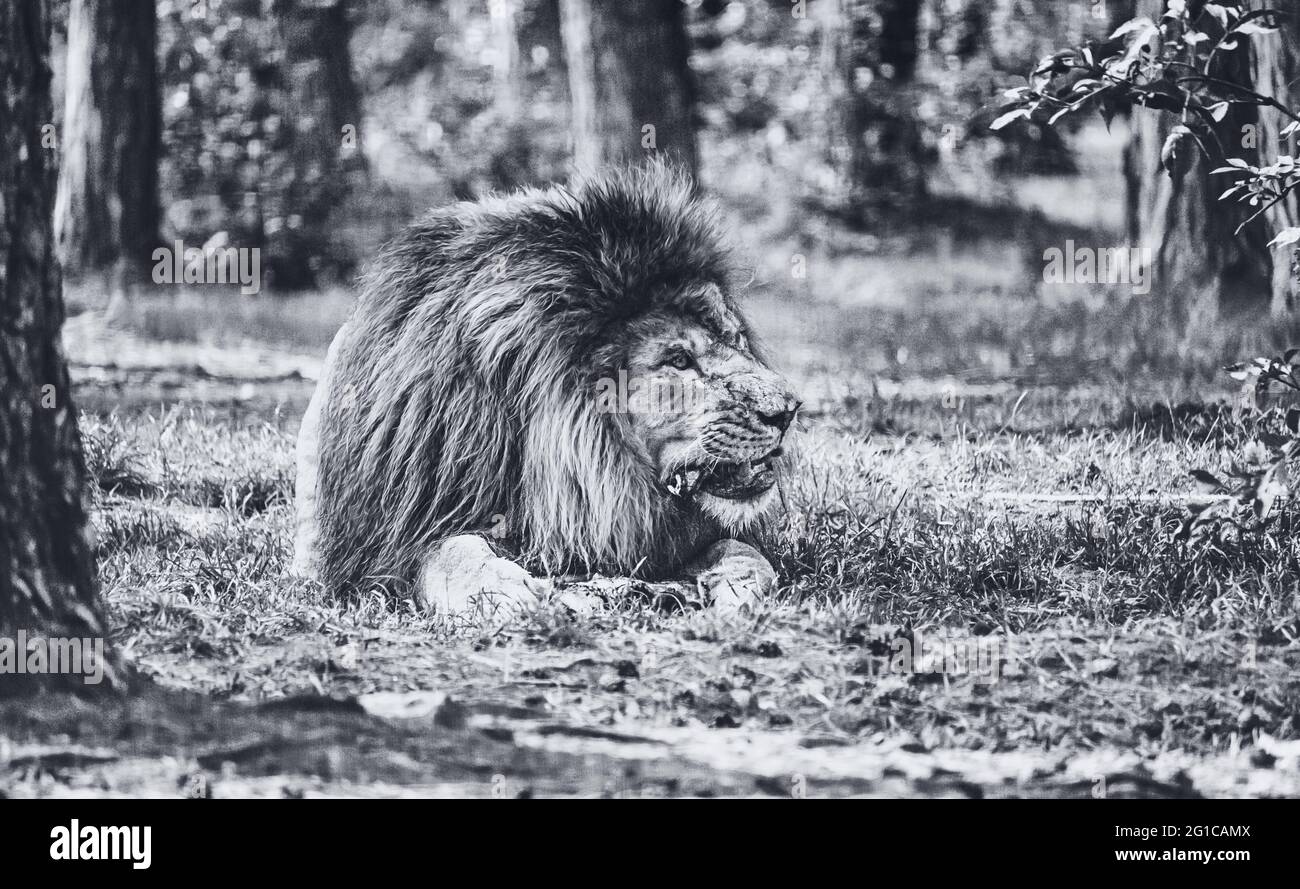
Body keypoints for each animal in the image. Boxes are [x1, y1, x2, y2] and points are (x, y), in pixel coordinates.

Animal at [292, 165, 799, 615]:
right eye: (678, 361)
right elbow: (449, 554)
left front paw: (738, 589)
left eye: (737, 339)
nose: (788, 410)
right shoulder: (407, 532)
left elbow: (744, 550)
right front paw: (512, 596)